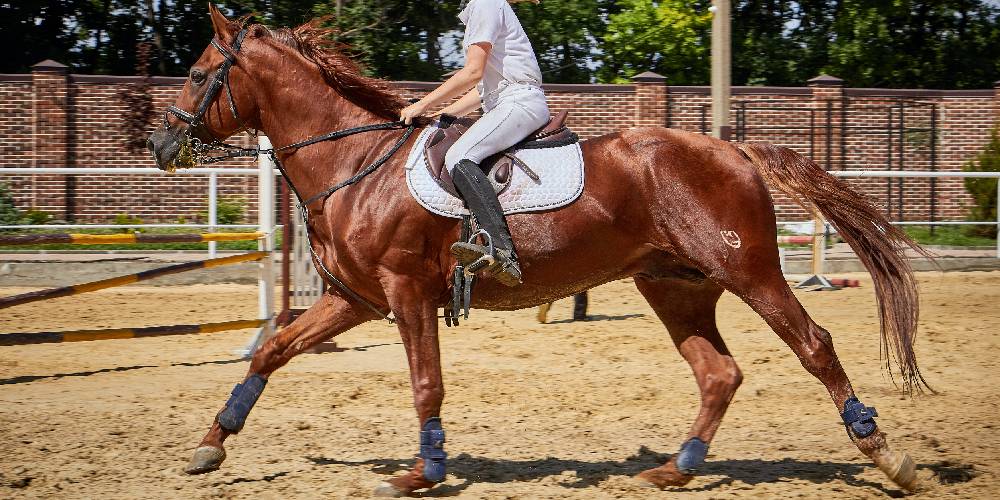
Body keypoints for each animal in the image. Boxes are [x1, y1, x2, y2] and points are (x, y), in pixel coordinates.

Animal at [147, 6, 930, 497]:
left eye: (198, 73)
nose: (159, 143)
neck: (355, 163)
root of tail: (731, 148)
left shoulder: (405, 294)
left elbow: (426, 384)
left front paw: (422, 473)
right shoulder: (356, 300)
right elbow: (271, 351)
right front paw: (213, 443)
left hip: (749, 270)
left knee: (815, 346)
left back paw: (889, 457)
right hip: (675, 285)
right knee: (718, 373)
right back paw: (675, 469)